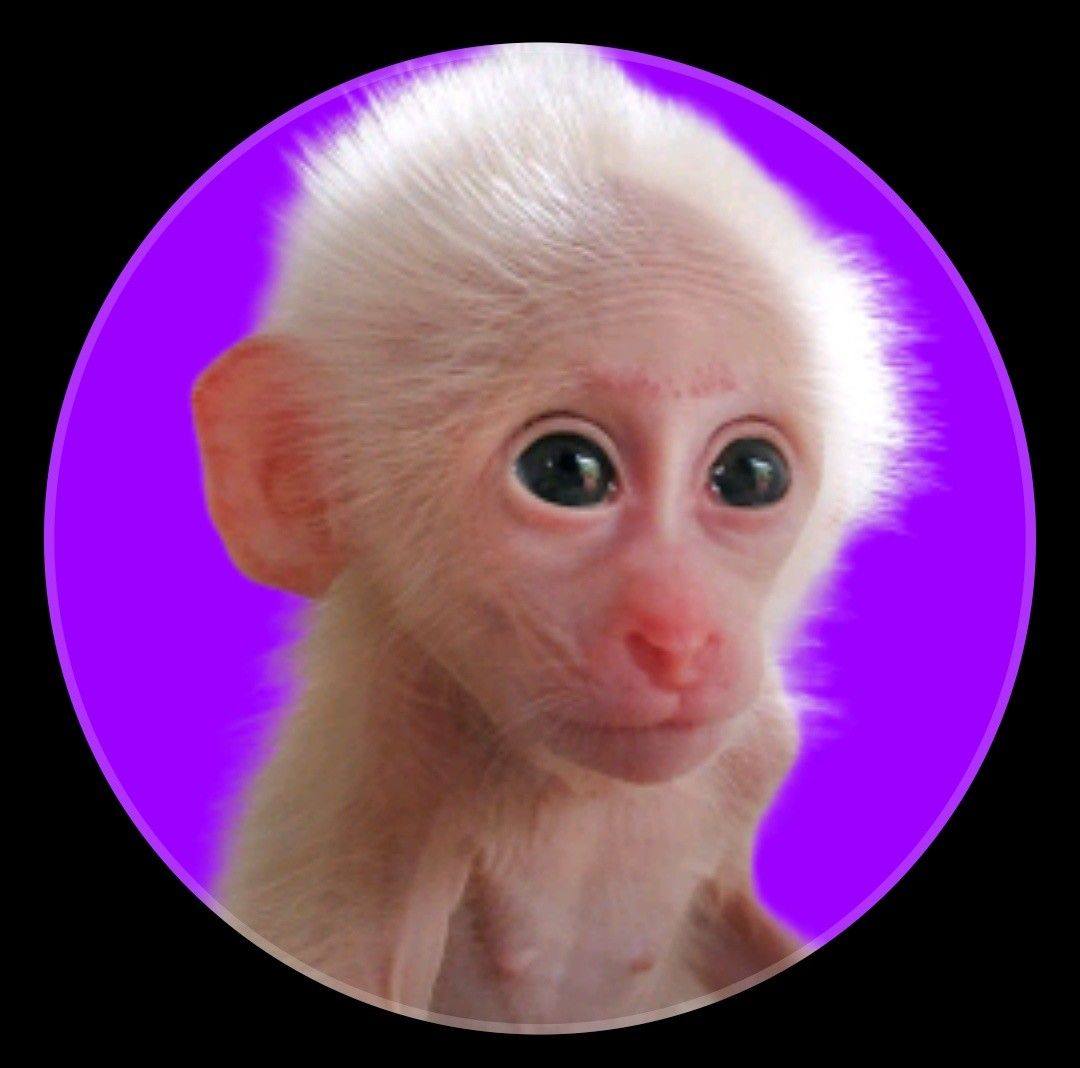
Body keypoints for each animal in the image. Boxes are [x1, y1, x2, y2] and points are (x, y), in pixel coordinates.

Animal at [192, 44, 908, 1031]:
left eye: (750, 475)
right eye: (567, 472)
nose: (680, 637)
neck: (576, 798)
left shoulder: (757, 744)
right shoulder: (380, 809)